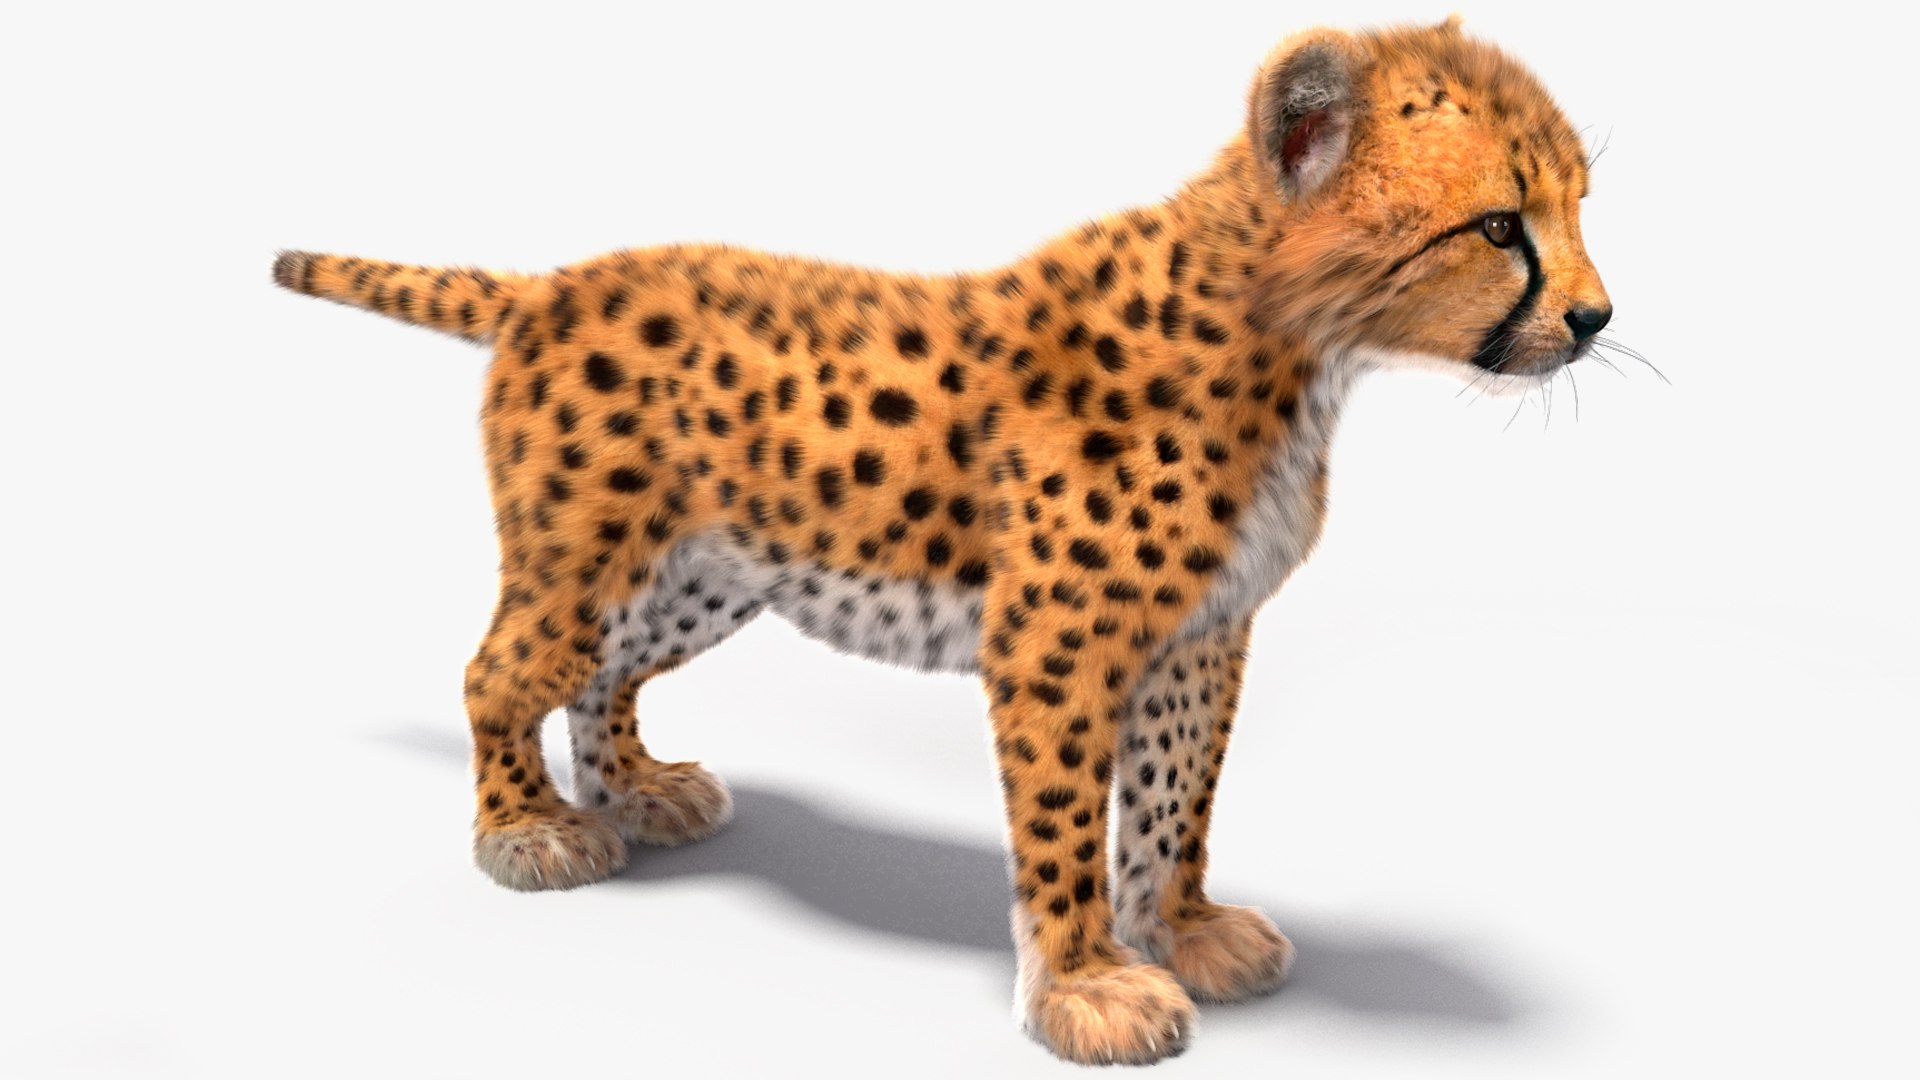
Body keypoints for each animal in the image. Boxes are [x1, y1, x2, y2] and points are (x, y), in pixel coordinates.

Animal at [272, 17, 1610, 1065]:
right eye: (1501, 226)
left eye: (1579, 205)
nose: (1598, 318)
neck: (1295, 346)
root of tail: (552, 282)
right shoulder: (1056, 652)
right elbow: (1067, 829)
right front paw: (1086, 986)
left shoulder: (1202, 639)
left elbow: (1177, 798)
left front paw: (1182, 930)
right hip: (589, 564)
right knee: (498, 672)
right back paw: (530, 829)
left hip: (697, 577)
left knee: (600, 680)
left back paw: (636, 792)